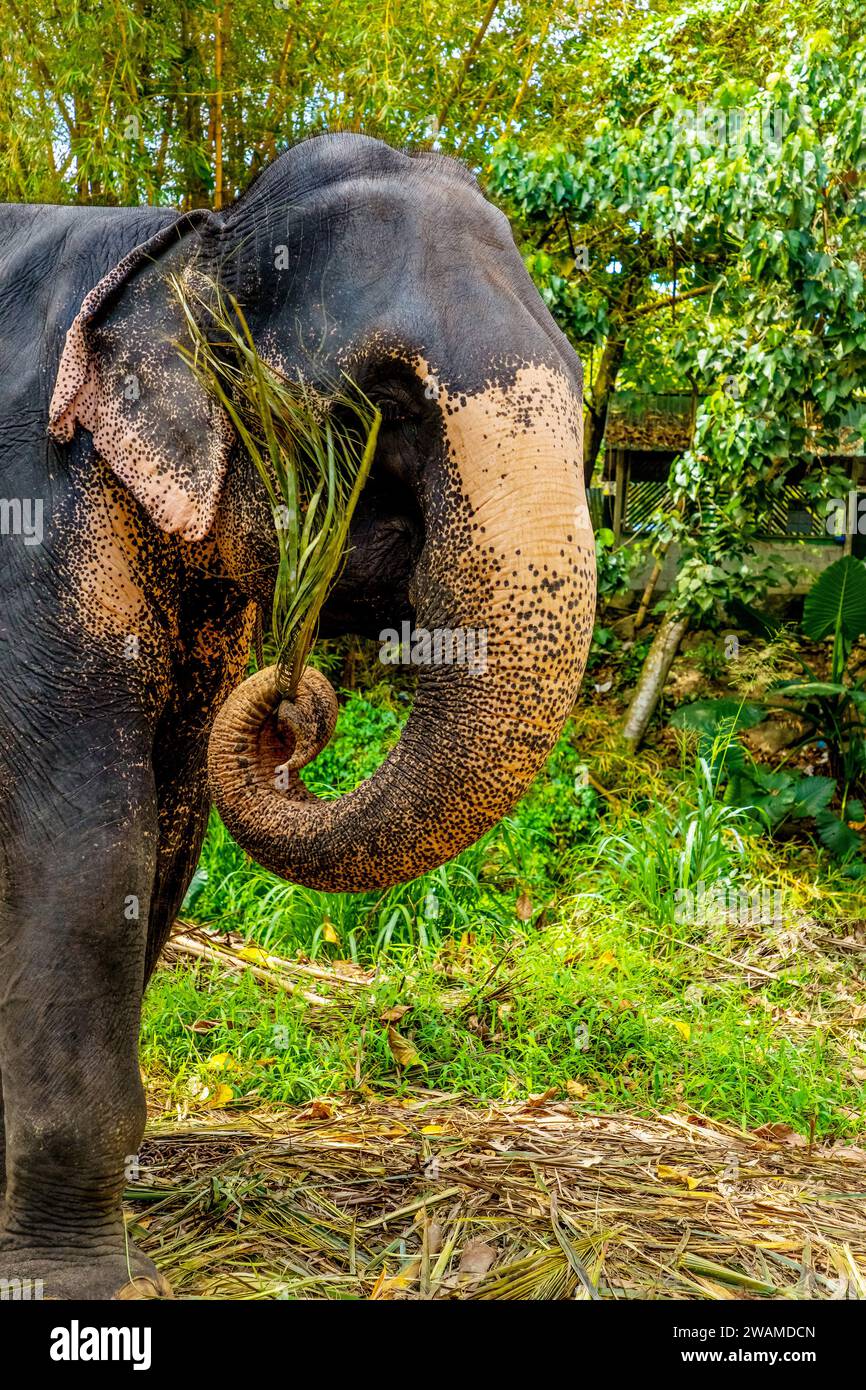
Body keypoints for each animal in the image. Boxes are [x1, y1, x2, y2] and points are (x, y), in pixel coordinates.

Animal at [0, 133, 595, 1299]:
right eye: (386, 403)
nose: (291, 701)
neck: (181, 235)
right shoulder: (28, 514)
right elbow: (85, 839)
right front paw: (80, 1280)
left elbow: (167, 830)